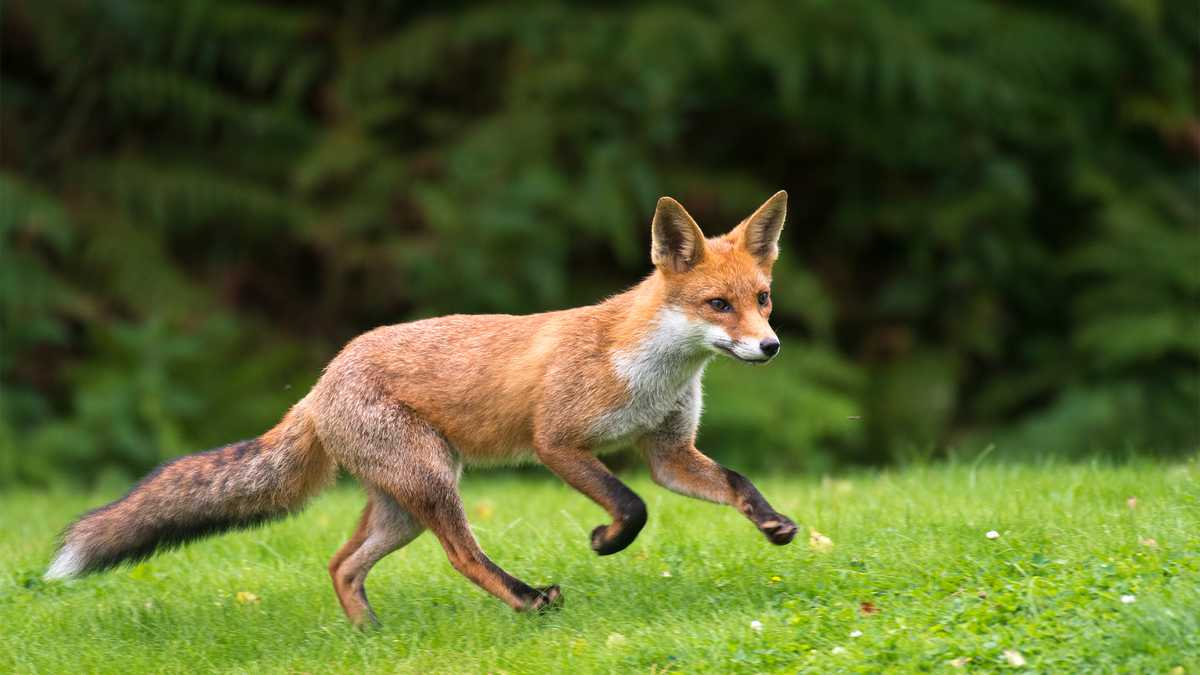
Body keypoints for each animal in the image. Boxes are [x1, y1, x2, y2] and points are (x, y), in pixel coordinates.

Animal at [46, 191, 799, 626]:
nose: (769, 346)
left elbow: (734, 482)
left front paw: (773, 522)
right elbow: (633, 505)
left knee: (341, 564)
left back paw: (369, 637)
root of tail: (321, 382)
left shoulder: (669, 451)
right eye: (717, 305)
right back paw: (526, 599)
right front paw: (606, 540)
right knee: (462, 556)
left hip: (402, 505)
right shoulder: (556, 441)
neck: (650, 368)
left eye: (762, 298)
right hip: (435, 483)